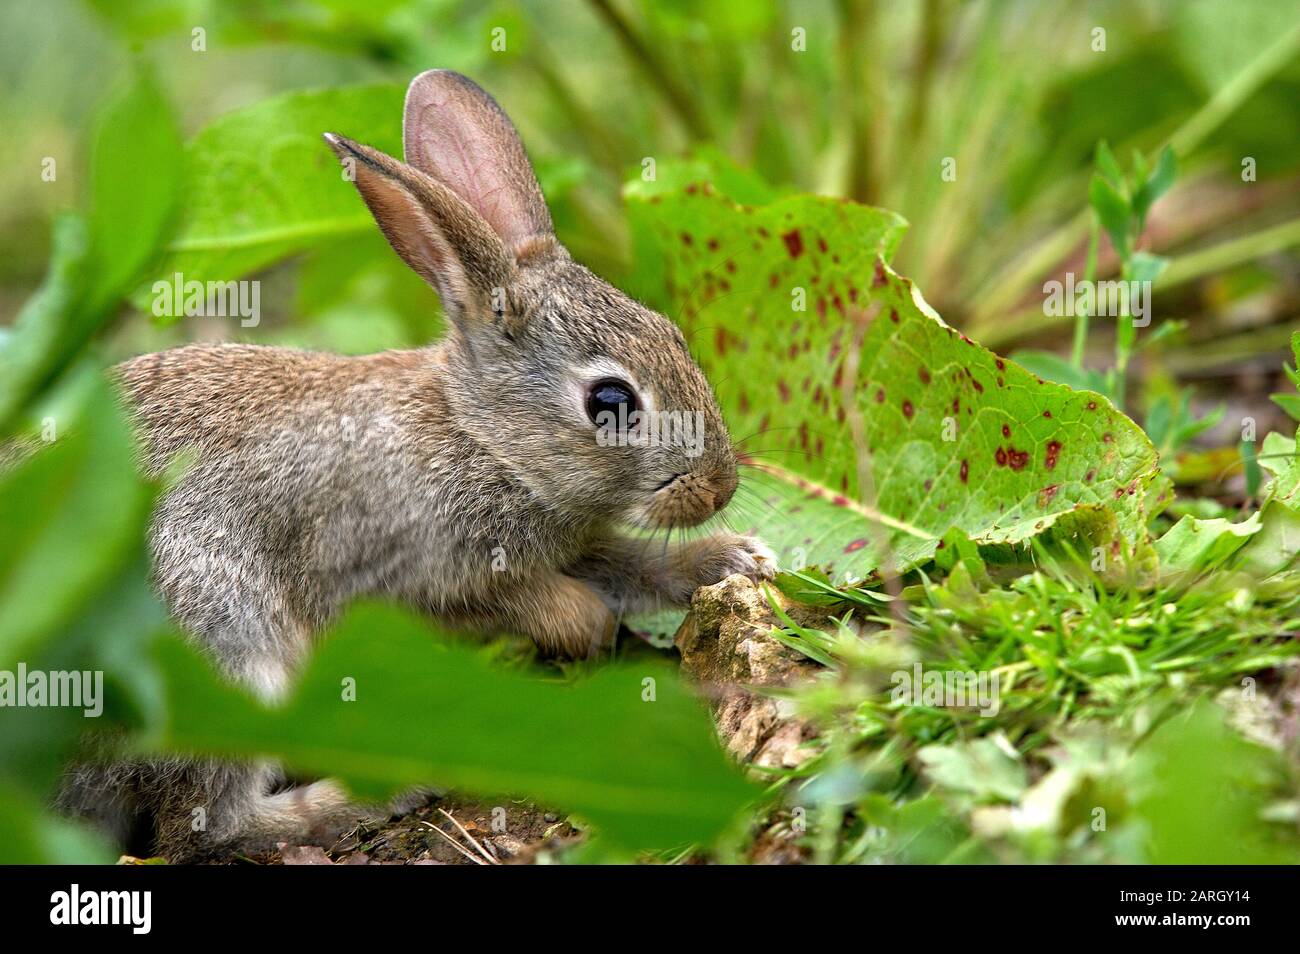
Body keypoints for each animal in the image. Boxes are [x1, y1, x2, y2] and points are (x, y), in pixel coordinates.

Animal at [57, 69, 774, 861]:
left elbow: (631, 564)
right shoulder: (402, 572)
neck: (483, 439)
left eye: (673, 333)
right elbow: (508, 600)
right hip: (223, 643)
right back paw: (376, 789)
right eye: (611, 401)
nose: (721, 488)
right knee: (207, 825)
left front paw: (733, 559)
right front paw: (580, 623)